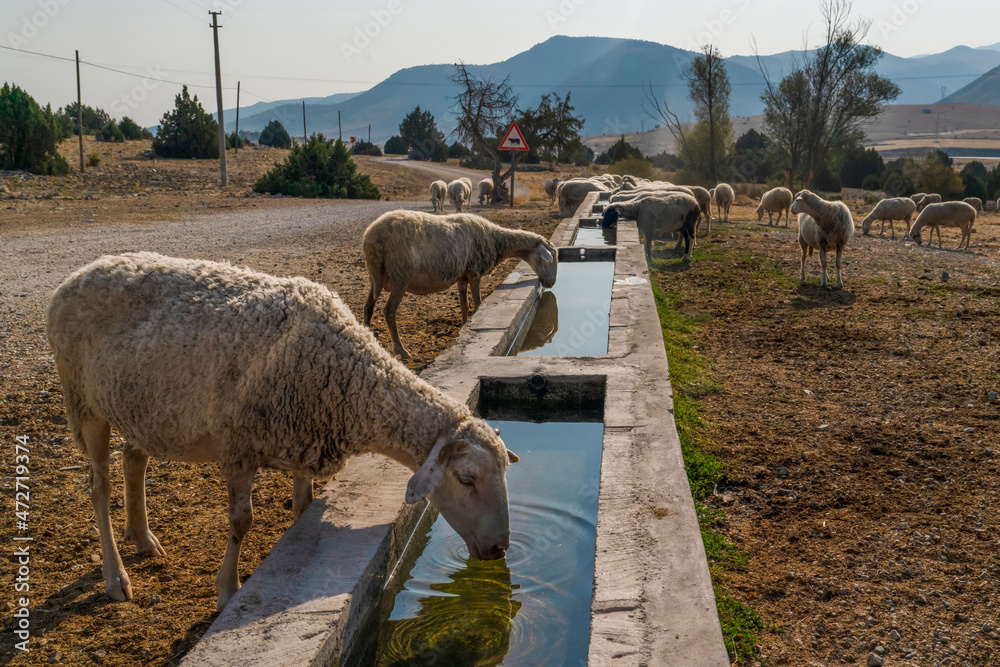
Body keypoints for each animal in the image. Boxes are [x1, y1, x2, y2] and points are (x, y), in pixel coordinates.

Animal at [46, 252, 520, 610]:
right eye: (466, 479)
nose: (500, 549)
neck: (348, 381)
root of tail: (76, 275)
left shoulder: (302, 440)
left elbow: (302, 507)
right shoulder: (240, 445)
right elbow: (241, 522)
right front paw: (228, 590)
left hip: (141, 404)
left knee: (134, 458)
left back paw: (143, 538)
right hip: (83, 402)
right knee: (98, 487)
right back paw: (115, 576)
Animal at [363, 210, 557, 358]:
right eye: (548, 260)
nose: (551, 283)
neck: (496, 241)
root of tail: (372, 238)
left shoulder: (462, 277)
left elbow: (464, 305)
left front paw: (465, 327)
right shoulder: (474, 272)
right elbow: (478, 304)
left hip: (375, 278)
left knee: (368, 306)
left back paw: (366, 335)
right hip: (401, 275)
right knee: (389, 311)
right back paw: (402, 351)